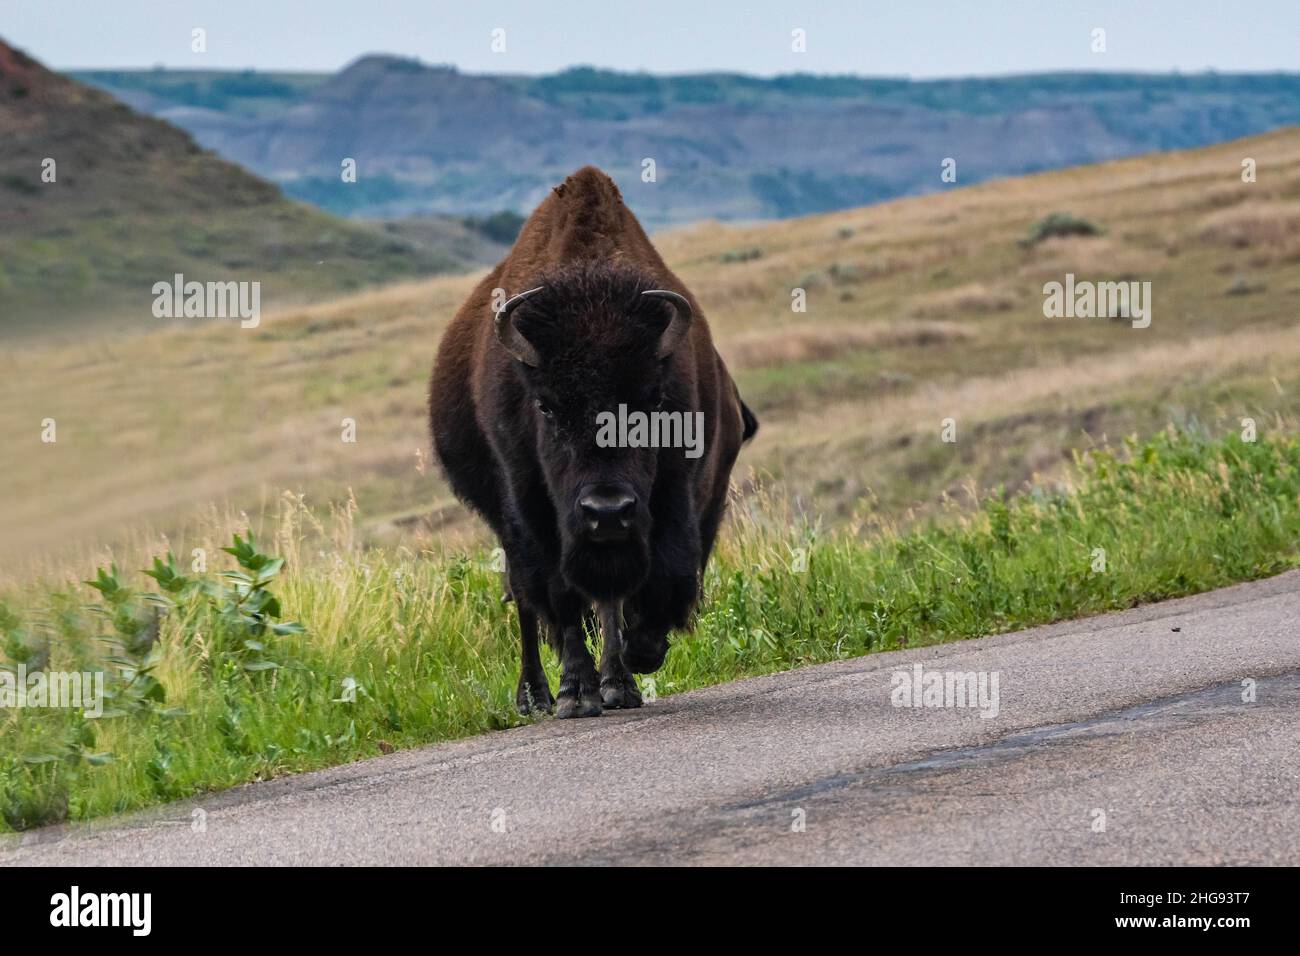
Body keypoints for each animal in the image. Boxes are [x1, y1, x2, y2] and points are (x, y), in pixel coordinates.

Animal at [429, 166, 757, 718]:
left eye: (653, 401)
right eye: (546, 406)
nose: (607, 509)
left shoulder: (676, 494)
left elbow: (662, 576)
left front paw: (638, 658)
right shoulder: (533, 511)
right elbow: (558, 594)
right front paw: (575, 694)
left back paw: (619, 683)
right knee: (529, 600)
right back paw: (537, 695)